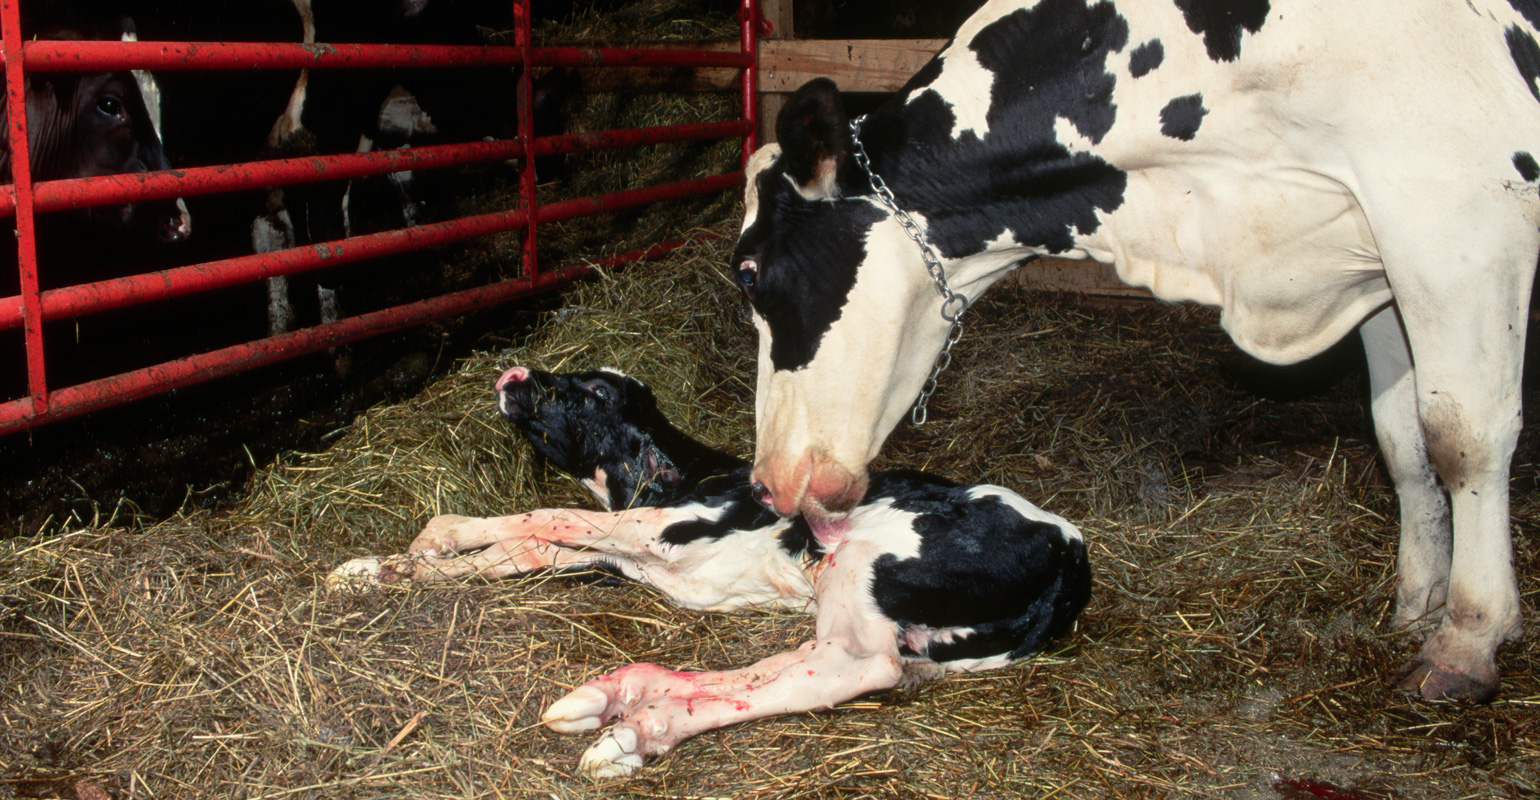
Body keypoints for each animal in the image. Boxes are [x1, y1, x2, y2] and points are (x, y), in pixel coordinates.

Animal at [330, 366, 1090, 777]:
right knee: (797, 668)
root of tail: (1072, 560)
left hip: (864, 558)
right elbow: (526, 546)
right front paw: (382, 569)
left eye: (595, 394)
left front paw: (429, 539)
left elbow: (542, 516)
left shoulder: (664, 526)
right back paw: (622, 701)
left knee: (853, 668)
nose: (517, 376)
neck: (679, 476)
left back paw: (632, 725)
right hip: (885, 621)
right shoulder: (623, 553)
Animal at [731, 0, 1540, 704]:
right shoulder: (1373, 261)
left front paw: (1465, 639)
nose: (765, 484)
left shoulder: (1457, 216)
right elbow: (1403, 439)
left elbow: (1461, 436)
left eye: (748, 272)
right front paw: (1417, 604)